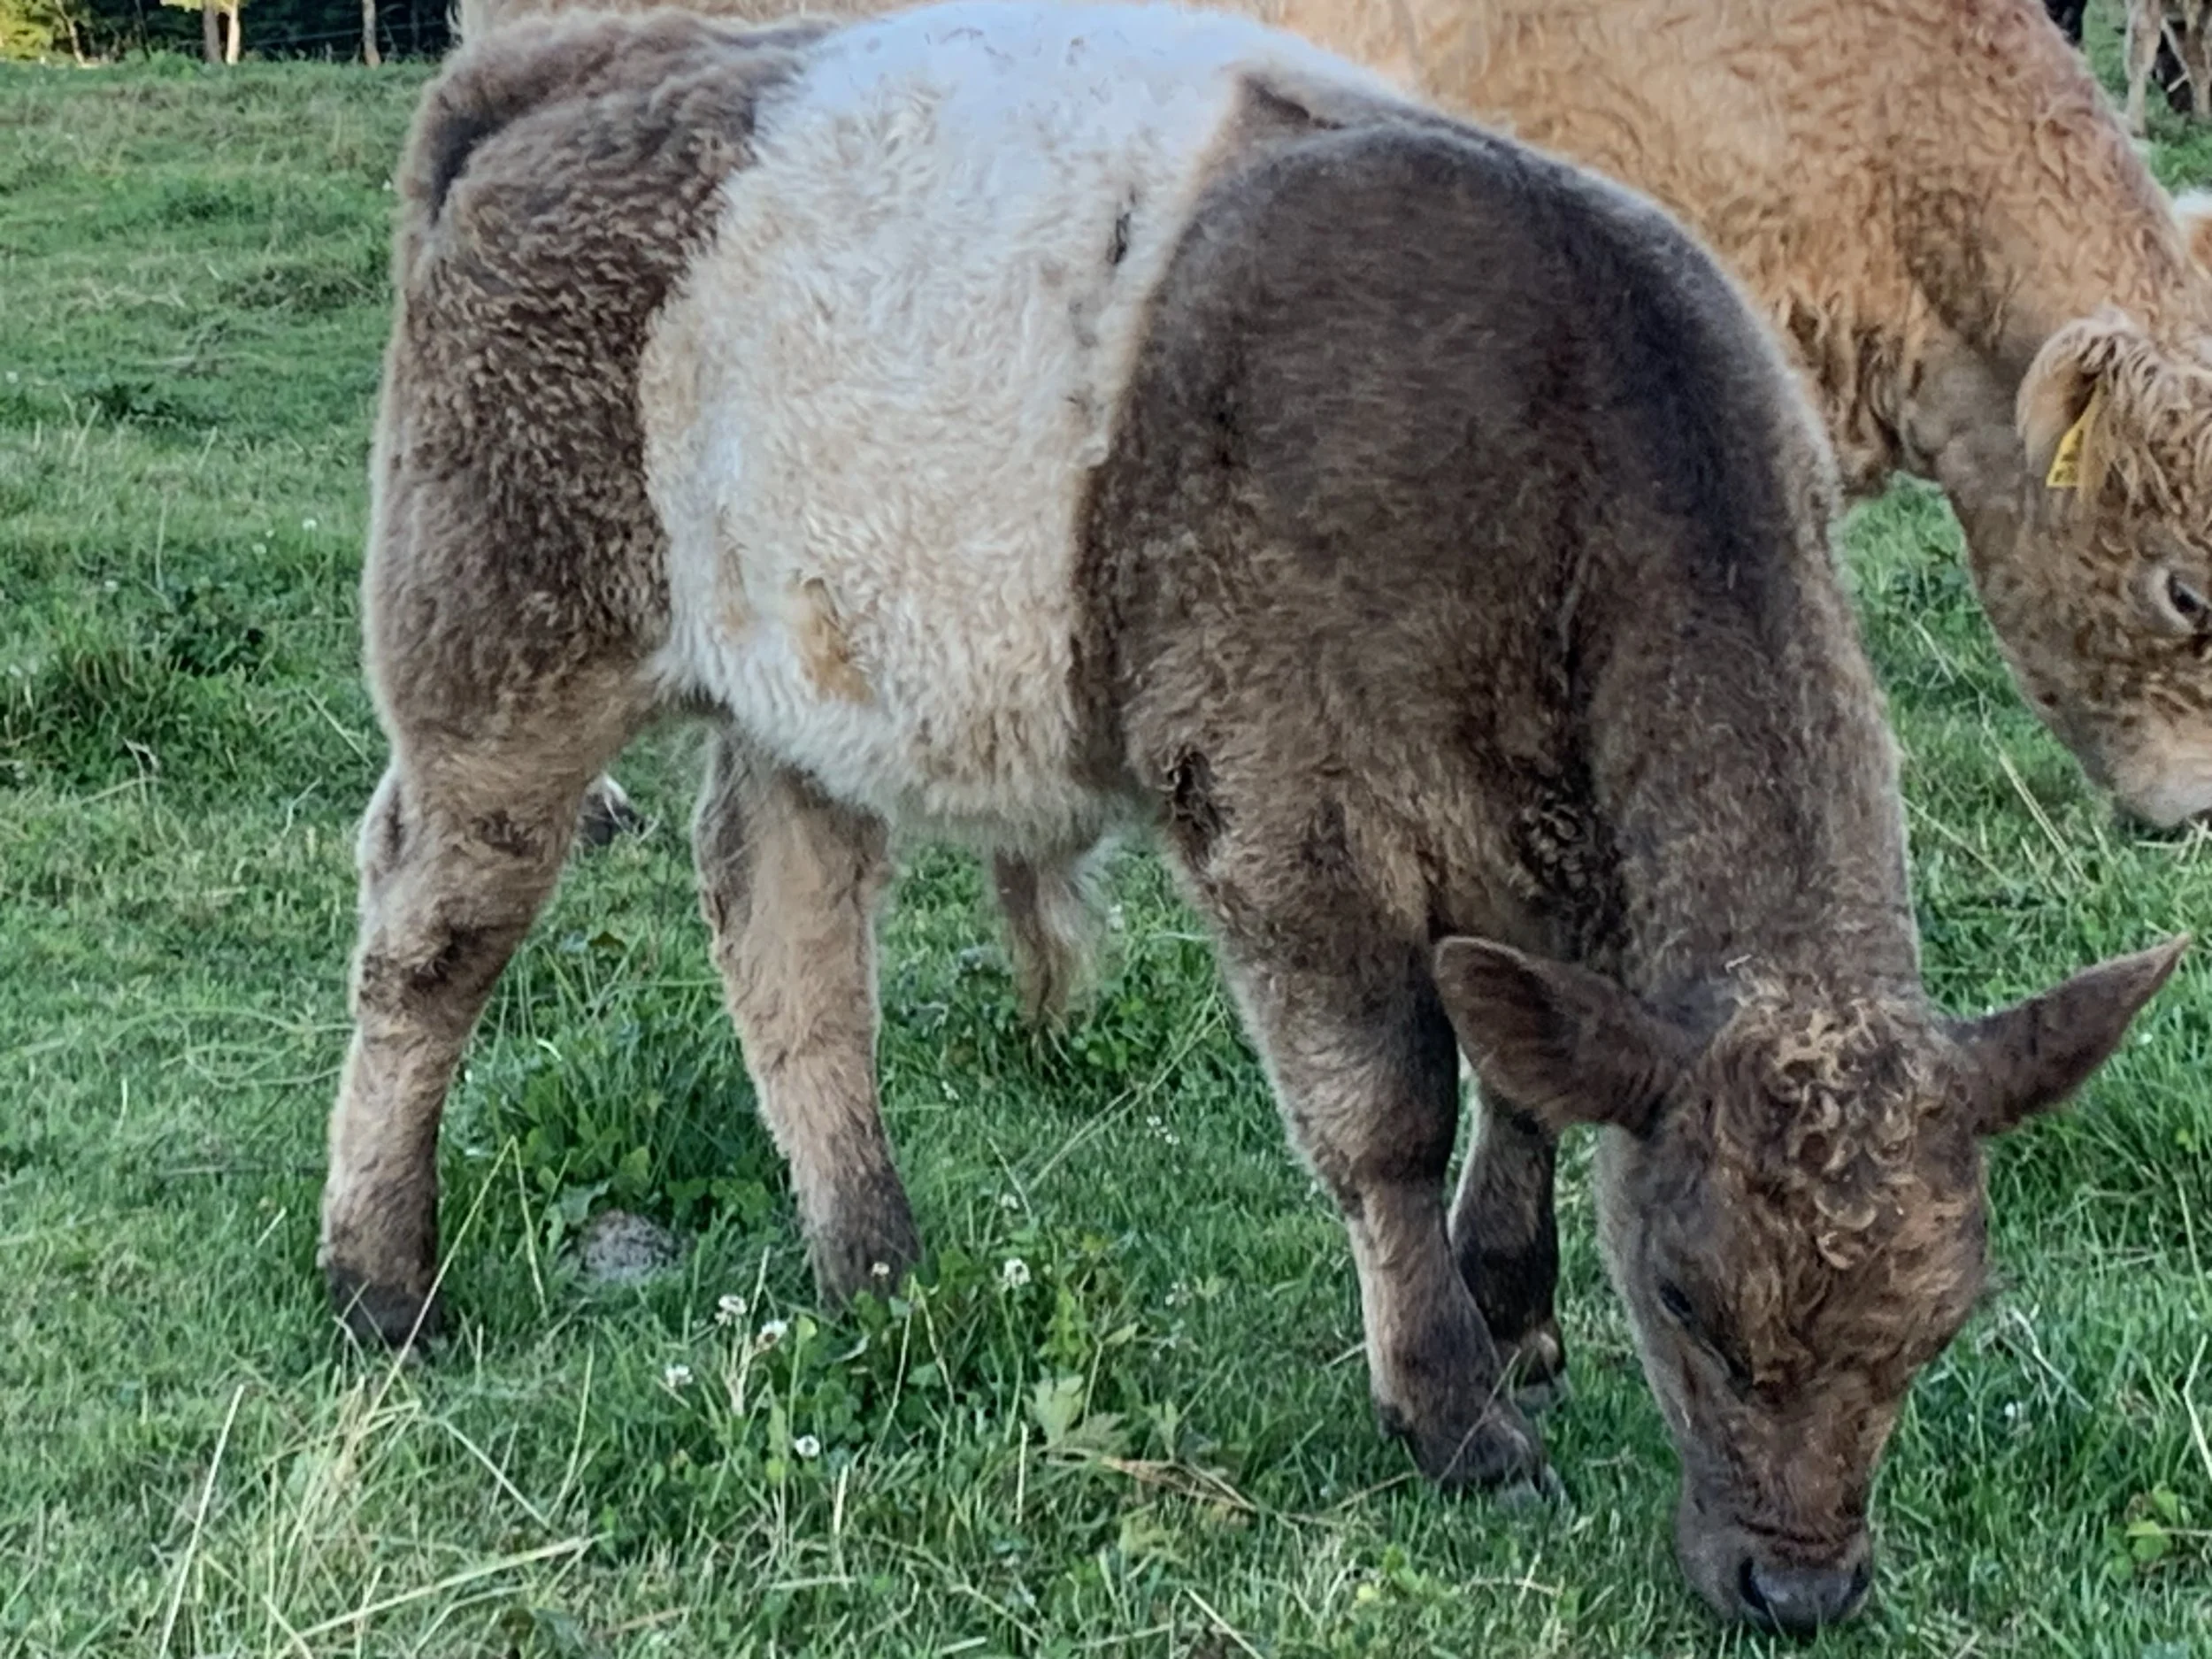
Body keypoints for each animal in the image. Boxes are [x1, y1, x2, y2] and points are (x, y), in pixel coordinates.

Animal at [327, 3, 2184, 1629]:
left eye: (1942, 1325)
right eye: (1686, 1304)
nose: (1798, 1590)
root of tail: (576, 68)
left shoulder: (1539, 873)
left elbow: (1527, 1084)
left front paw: (1513, 1310)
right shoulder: (1289, 814)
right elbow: (1388, 1114)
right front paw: (1452, 1408)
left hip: (809, 690)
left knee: (789, 950)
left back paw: (878, 1269)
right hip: (499, 629)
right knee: (433, 933)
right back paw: (380, 1275)